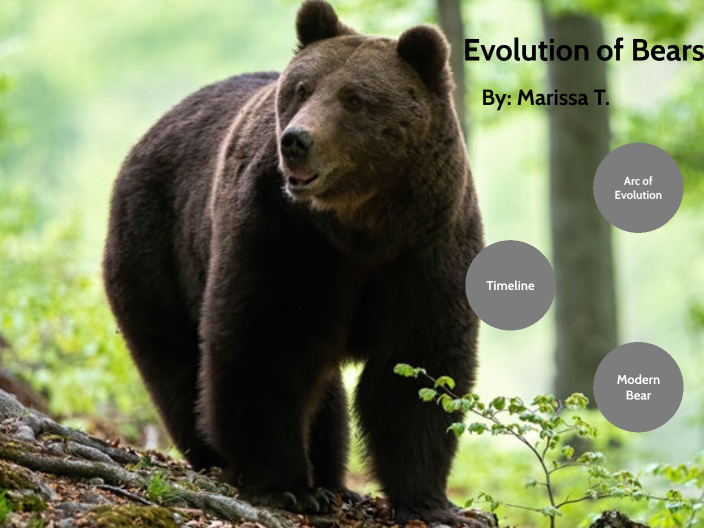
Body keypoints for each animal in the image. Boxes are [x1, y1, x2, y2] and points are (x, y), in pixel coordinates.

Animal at [103, 0, 484, 525]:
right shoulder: (282, 236)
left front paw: (432, 503)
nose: (296, 140)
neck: (362, 227)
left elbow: (419, 367)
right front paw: (284, 485)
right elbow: (263, 343)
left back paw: (332, 482)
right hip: (155, 244)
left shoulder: (428, 247)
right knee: (176, 359)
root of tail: (151, 130)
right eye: (302, 88)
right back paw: (232, 461)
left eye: (354, 98)